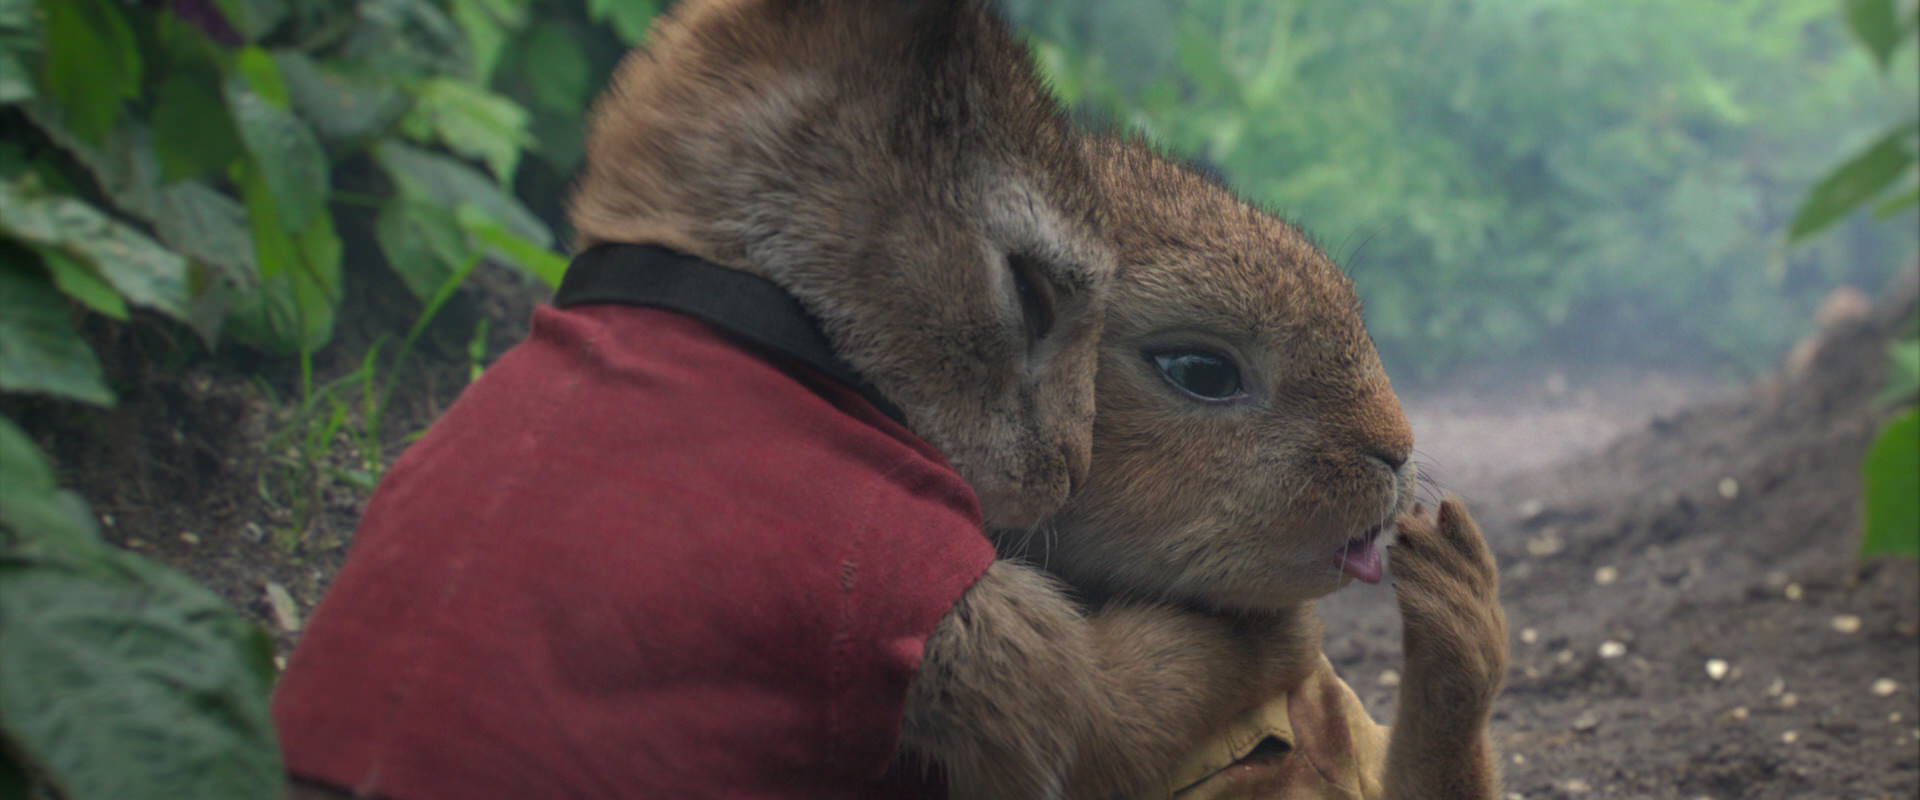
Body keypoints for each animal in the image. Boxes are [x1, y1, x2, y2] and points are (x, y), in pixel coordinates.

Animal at [279, 3, 1310, 799]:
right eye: (1033, 294)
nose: (1068, 468)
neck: (745, 305)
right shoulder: (929, 593)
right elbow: (1112, 708)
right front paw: (1282, 641)